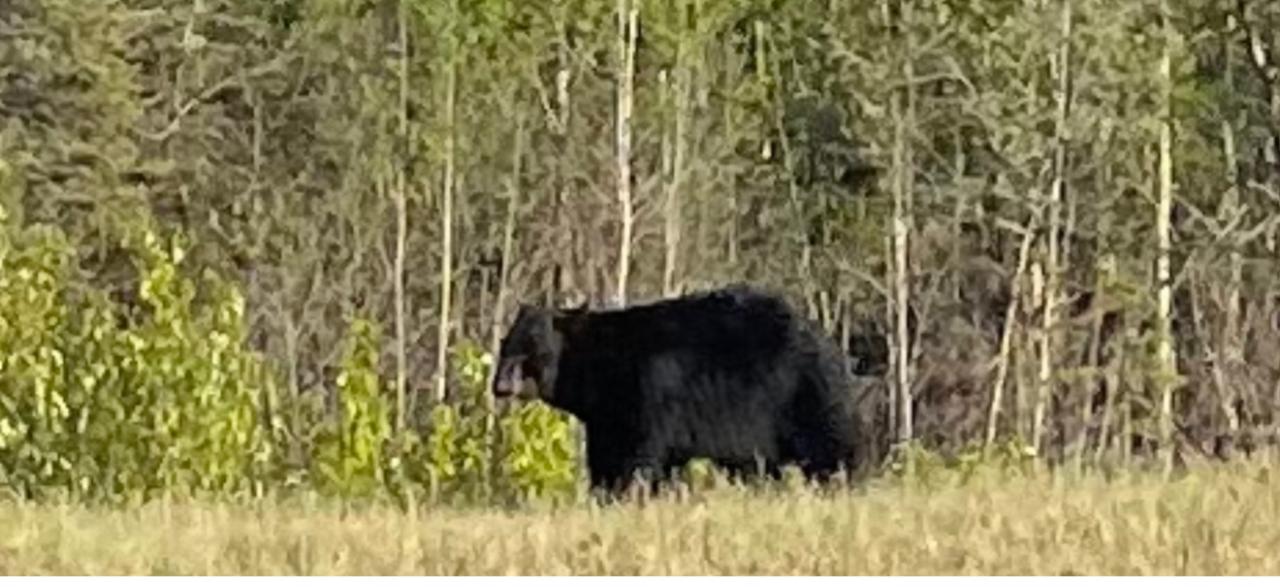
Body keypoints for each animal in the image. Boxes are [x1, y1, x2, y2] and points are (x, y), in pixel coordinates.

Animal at [490, 283, 868, 497]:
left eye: (534, 344)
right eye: (506, 341)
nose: (500, 385)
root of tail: (832, 345)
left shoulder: (648, 397)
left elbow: (639, 459)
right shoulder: (606, 418)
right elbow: (605, 459)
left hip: (808, 399)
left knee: (830, 453)